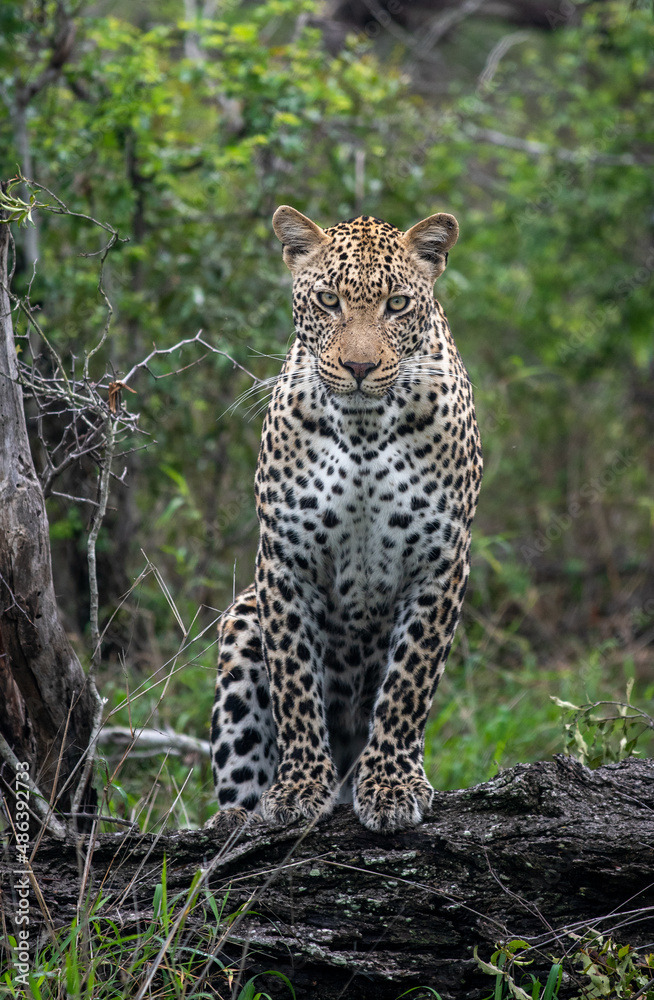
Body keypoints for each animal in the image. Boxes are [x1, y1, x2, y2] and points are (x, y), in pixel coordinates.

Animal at [210, 205, 482, 833]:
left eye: (398, 304)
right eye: (329, 300)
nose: (359, 366)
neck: (363, 431)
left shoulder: (439, 561)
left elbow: (408, 683)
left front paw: (391, 785)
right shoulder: (284, 561)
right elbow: (293, 682)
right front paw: (298, 788)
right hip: (242, 618)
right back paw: (235, 818)